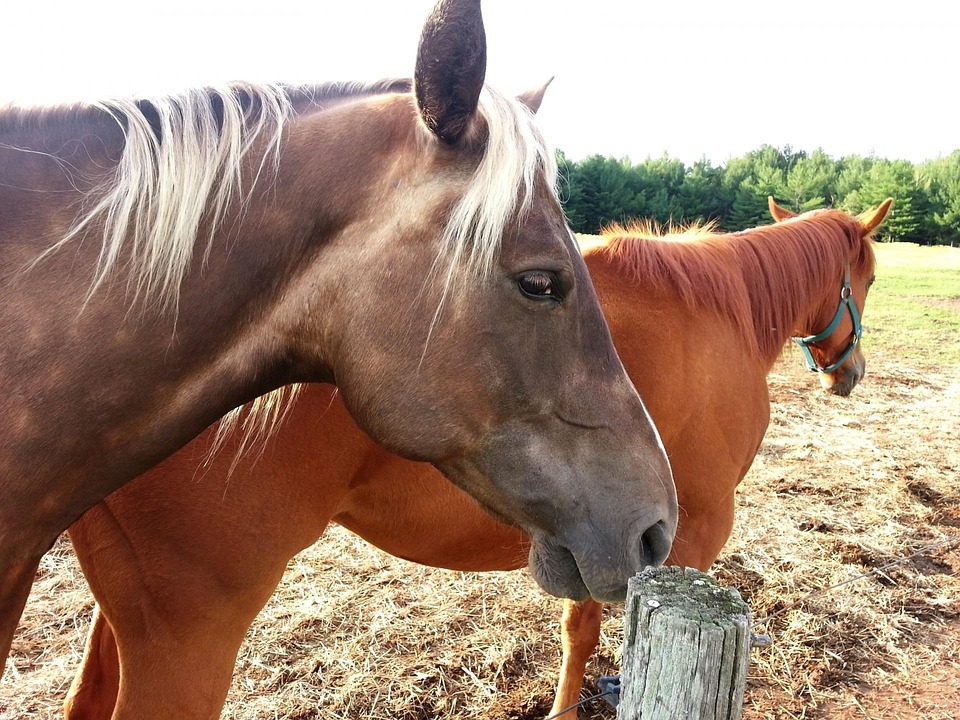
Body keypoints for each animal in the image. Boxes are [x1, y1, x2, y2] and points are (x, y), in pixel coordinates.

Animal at [60, 198, 891, 719]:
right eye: (872, 277)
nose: (849, 371)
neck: (722, 309)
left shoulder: (607, 543)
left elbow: (580, 629)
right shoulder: (690, 539)